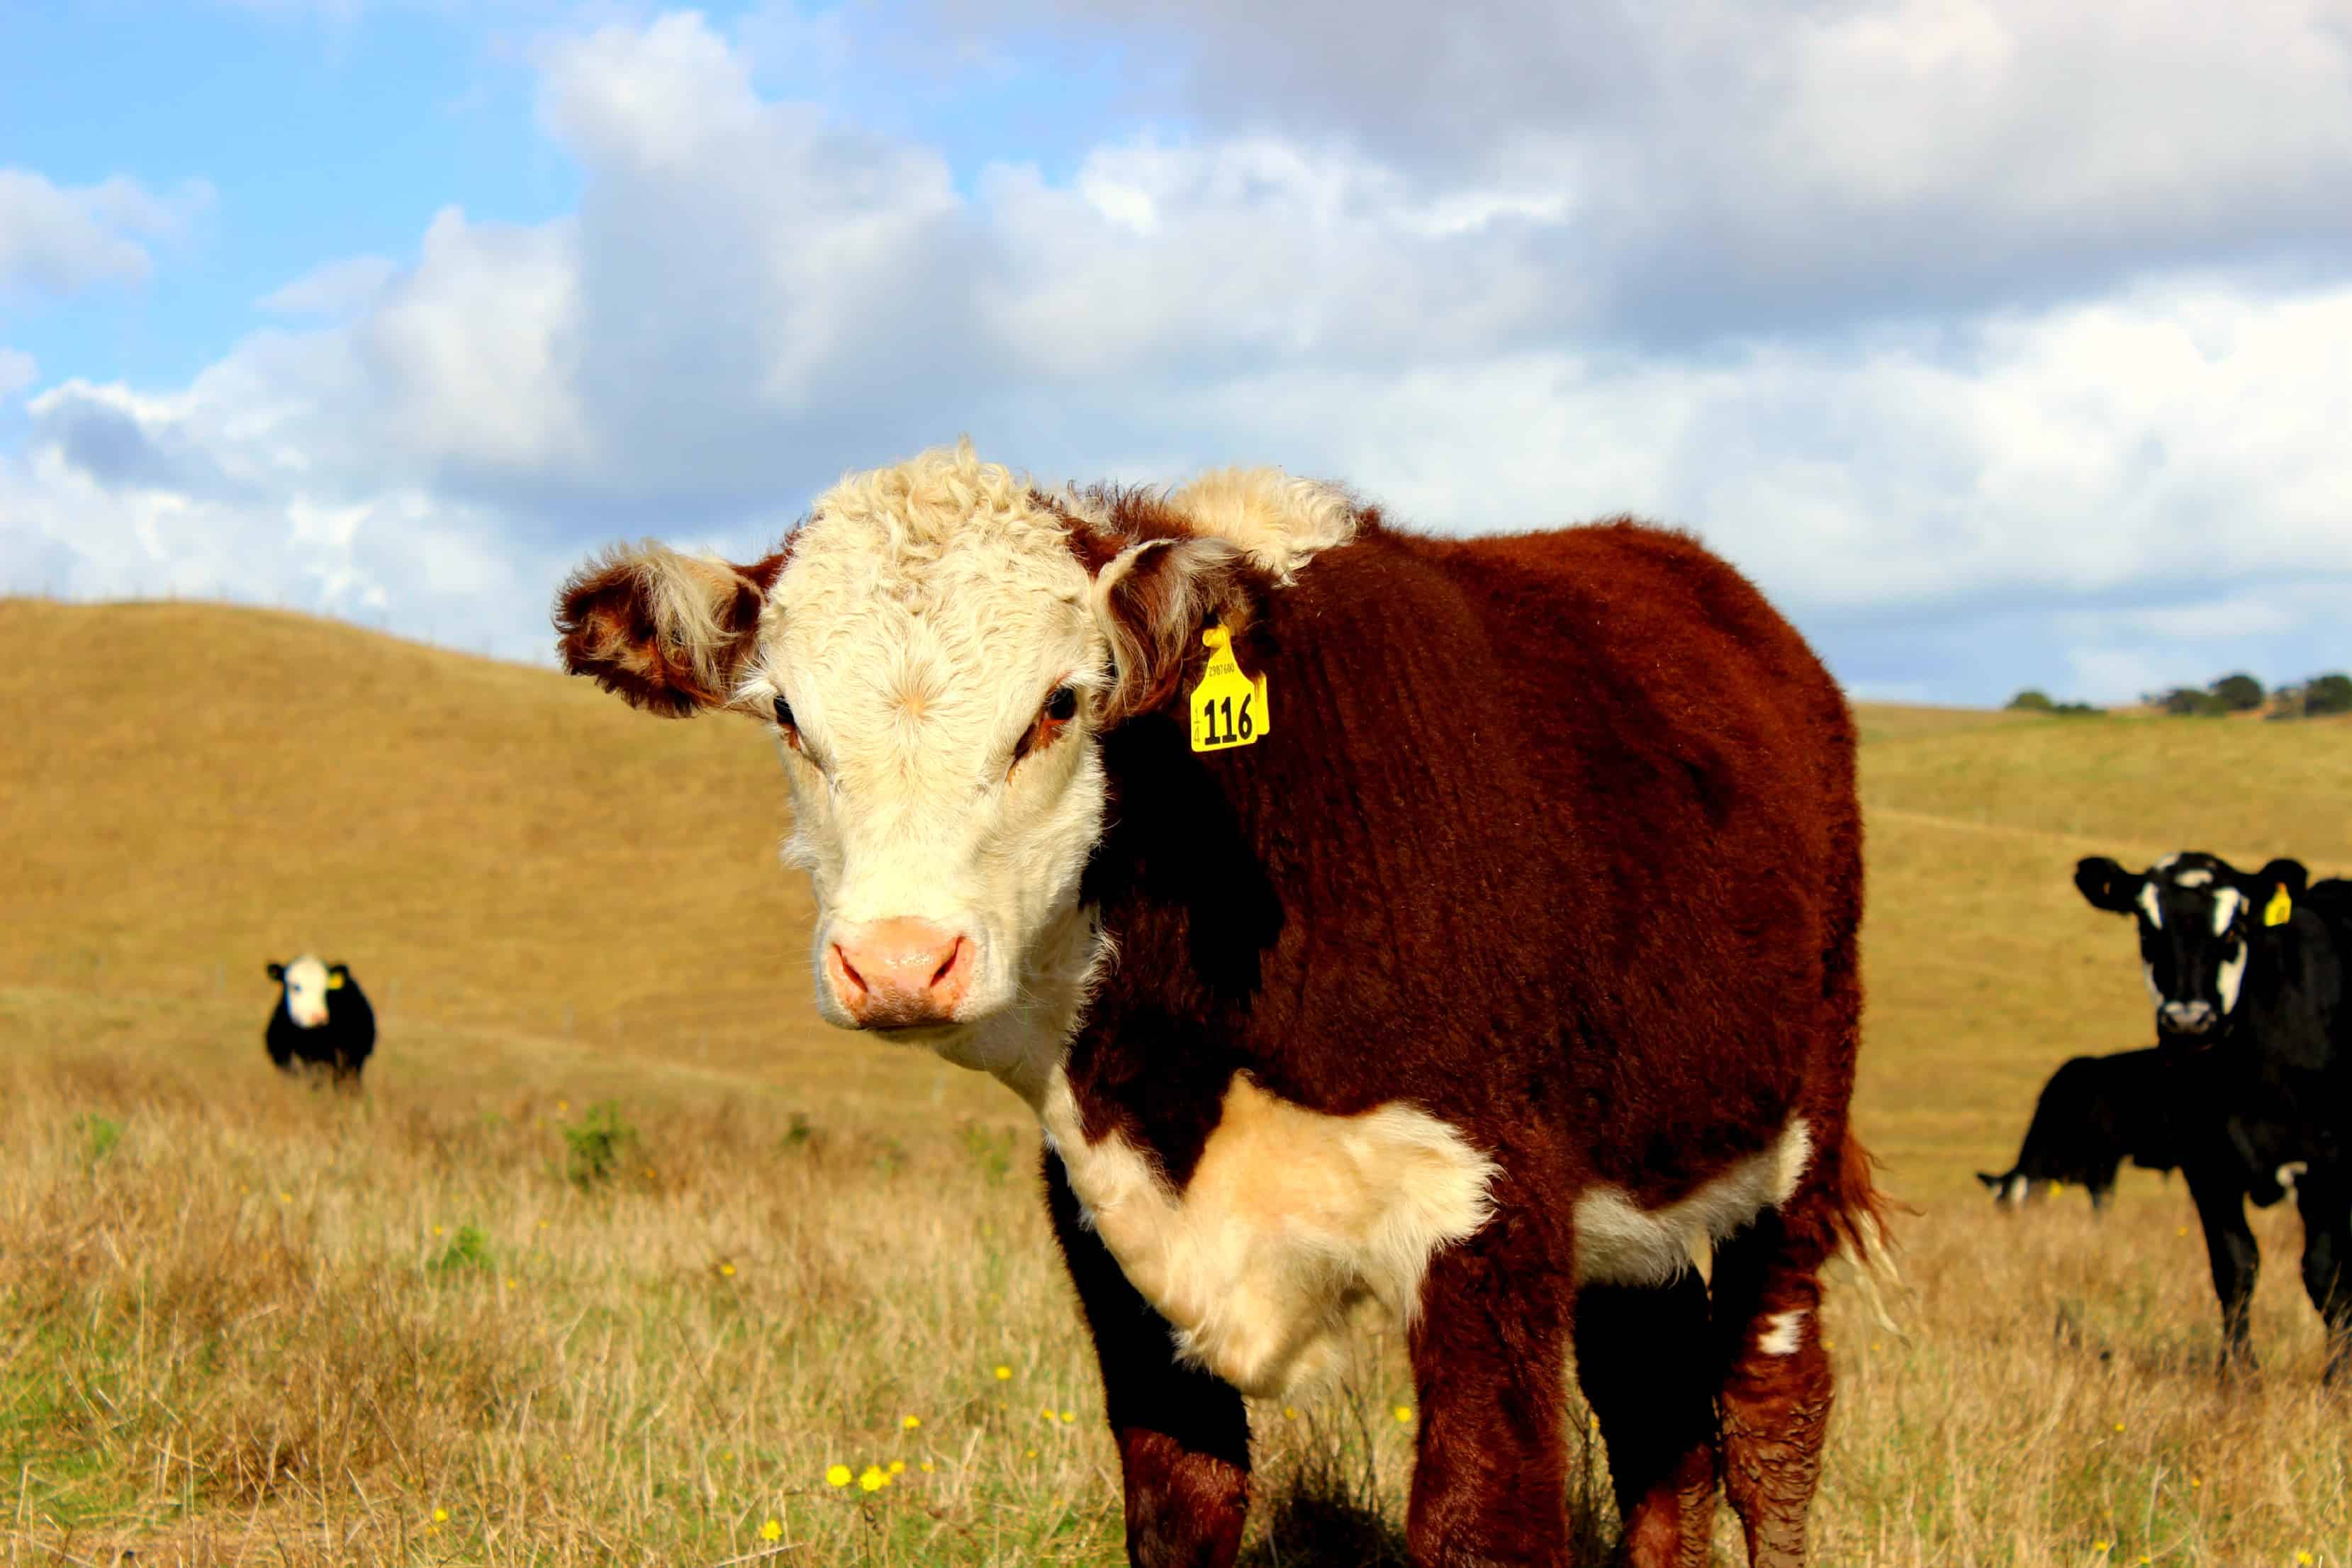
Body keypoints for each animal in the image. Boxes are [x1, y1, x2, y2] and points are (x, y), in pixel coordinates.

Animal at [554, 443, 1888, 1567]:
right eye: (788, 715)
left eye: (1058, 705)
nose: (896, 959)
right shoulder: (1106, 1226)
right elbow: (1183, 1508)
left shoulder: (1493, 1207)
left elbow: (1479, 1523)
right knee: (1657, 1414)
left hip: (1798, 1123)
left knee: (1769, 1408)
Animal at [2074, 852, 2350, 1379]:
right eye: (2147, 930)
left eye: (2234, 930)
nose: (2188, 1020)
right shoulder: (2205, 1162)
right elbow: (2235, 1267)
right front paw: (2238, 1374)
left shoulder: (2326, 1165)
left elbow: (2325, 1273)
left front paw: (2338, 1376)